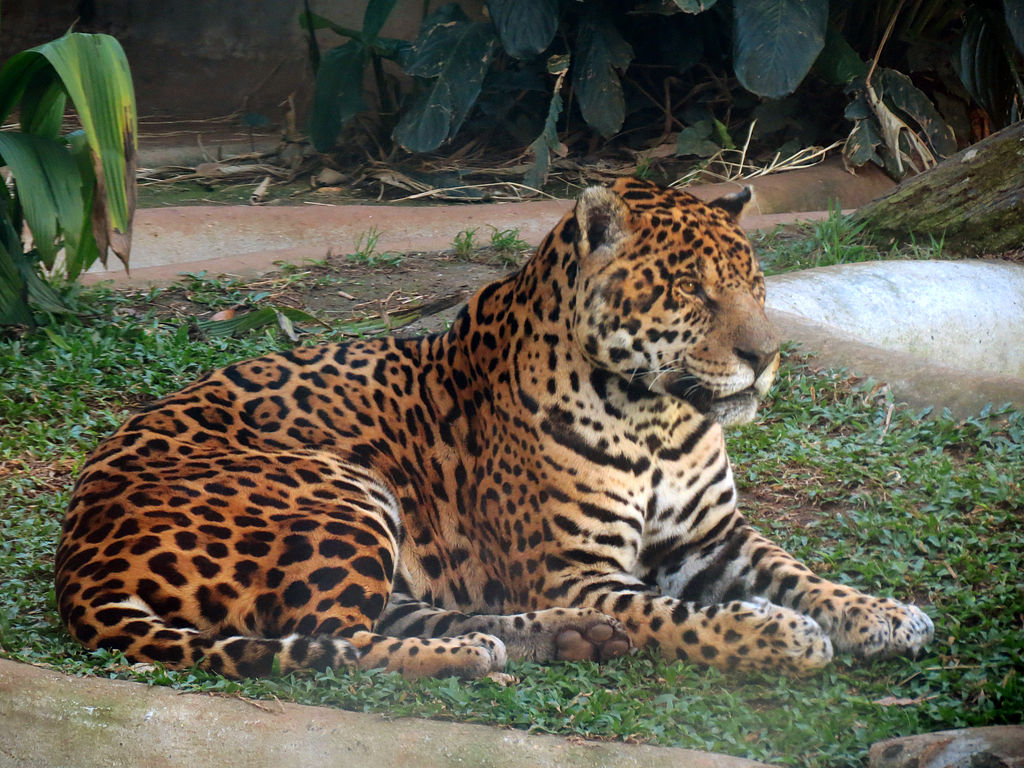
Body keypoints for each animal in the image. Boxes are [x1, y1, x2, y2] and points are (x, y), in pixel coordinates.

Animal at [55, 177, 934, 680]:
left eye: (757, 283)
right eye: (690, 290)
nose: (766, 357)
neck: (659, 417)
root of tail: (77, 553)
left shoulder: (711, 537)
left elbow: (797, 572)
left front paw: (881, 614)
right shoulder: (573, 569)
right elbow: (671, 615)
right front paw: (780, 638)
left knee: (395, 619)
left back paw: (566, 637)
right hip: (343, 489)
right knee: (339, 641)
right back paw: (485, 652)